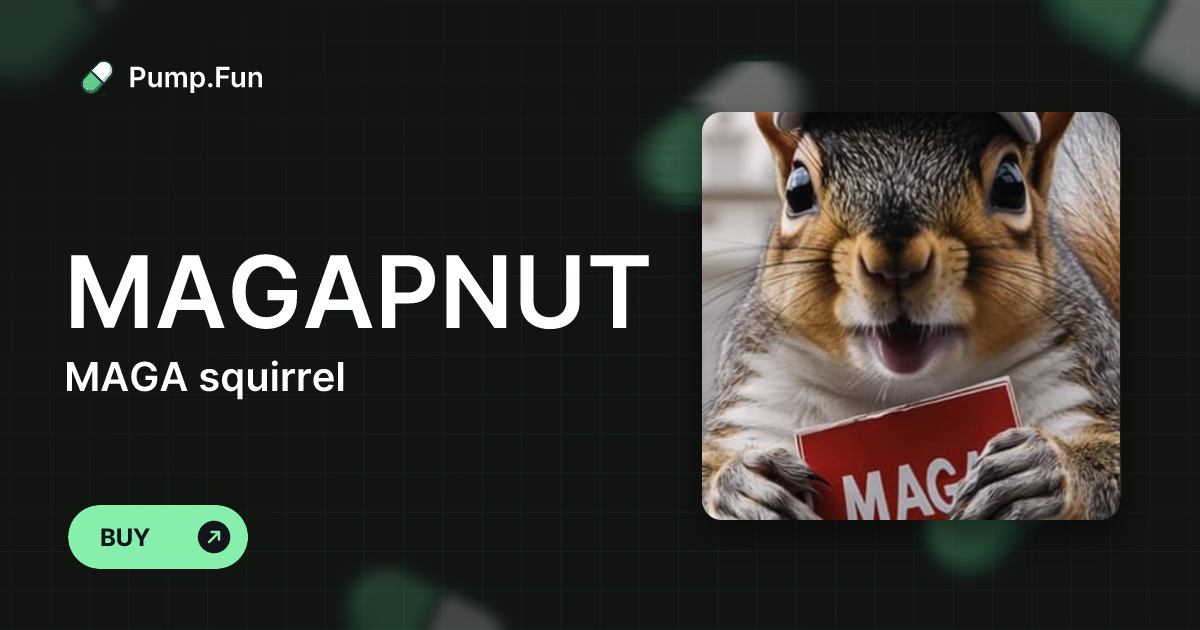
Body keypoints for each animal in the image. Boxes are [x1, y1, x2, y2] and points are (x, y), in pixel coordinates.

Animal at [702, 112, 1120, 520]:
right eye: (797, 191)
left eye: (1010, 184)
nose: (894, 264)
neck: (907, 392)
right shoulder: (760, 392)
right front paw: (743, 484)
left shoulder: (1079, 377)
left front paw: (1044, 470)